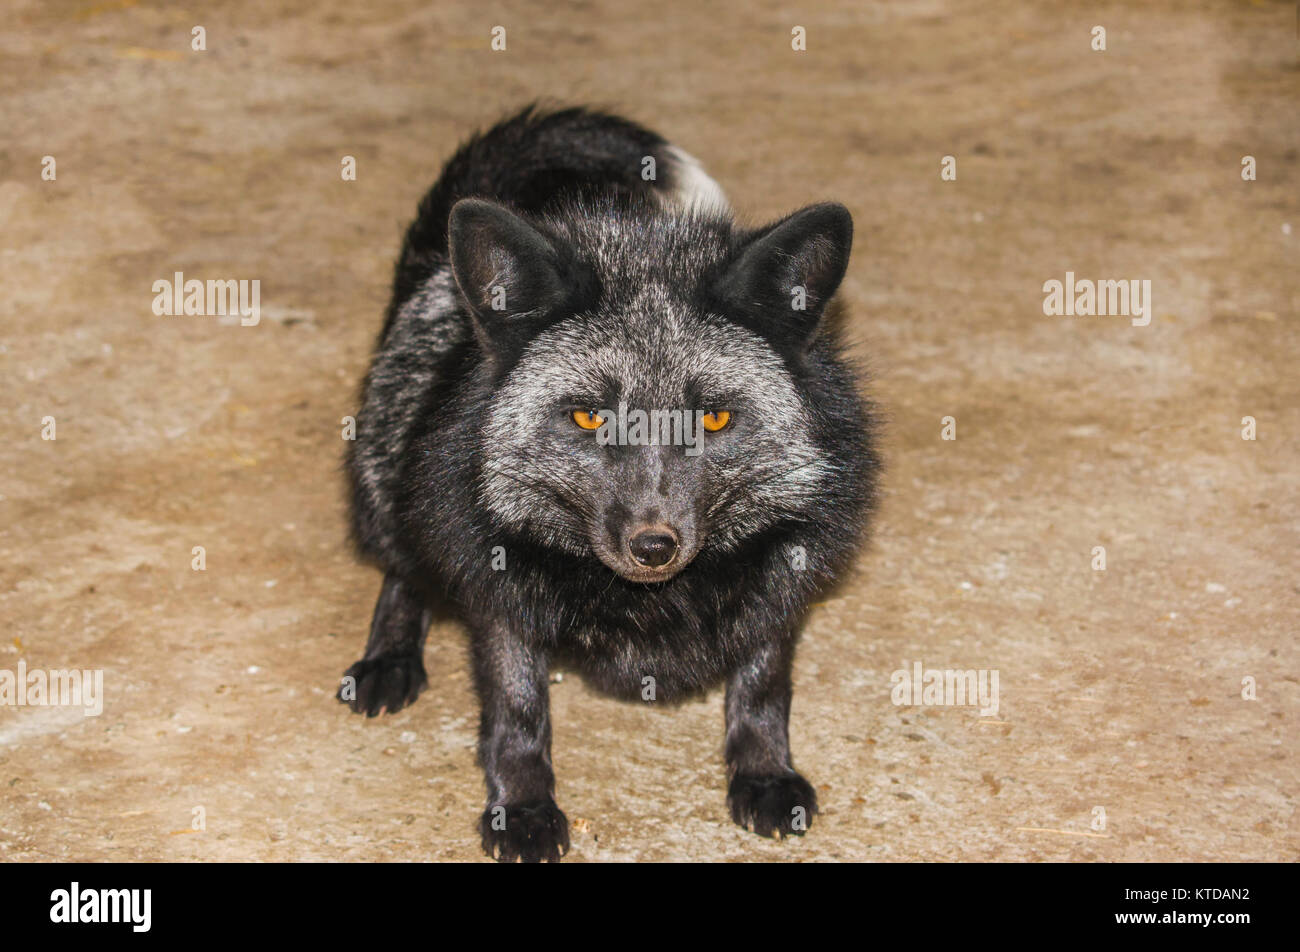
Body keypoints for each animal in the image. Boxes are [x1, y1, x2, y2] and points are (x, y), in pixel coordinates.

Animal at [340, 105, 878, 862]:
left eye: (713, 417)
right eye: (589, 415)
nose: (653, 547)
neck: (652, 607)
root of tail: (438, 273)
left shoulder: (784, 570)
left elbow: (763, 687)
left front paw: (766, 774)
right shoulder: (496, 584)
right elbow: (517, 713)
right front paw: (521, 809)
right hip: (392, 477)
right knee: (403, 567)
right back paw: (388, 656)